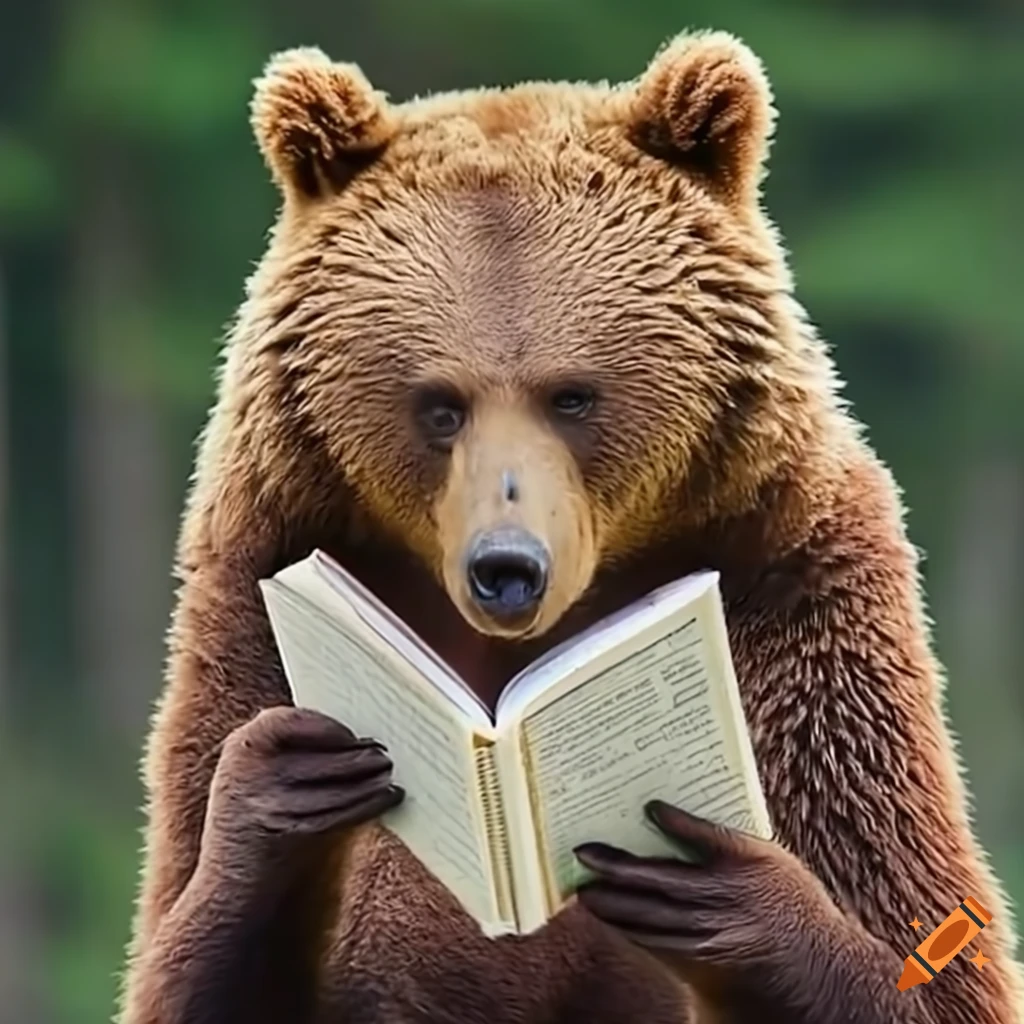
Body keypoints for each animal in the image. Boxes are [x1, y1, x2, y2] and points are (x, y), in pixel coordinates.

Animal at [116, 28, 1024, 1024]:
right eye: (441, 406)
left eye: (572, 396)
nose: (507, 566)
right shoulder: (248, 584)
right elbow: (194, 937)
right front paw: (287, 783)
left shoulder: (798, 587)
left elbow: (916, 938)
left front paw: (718, 888)